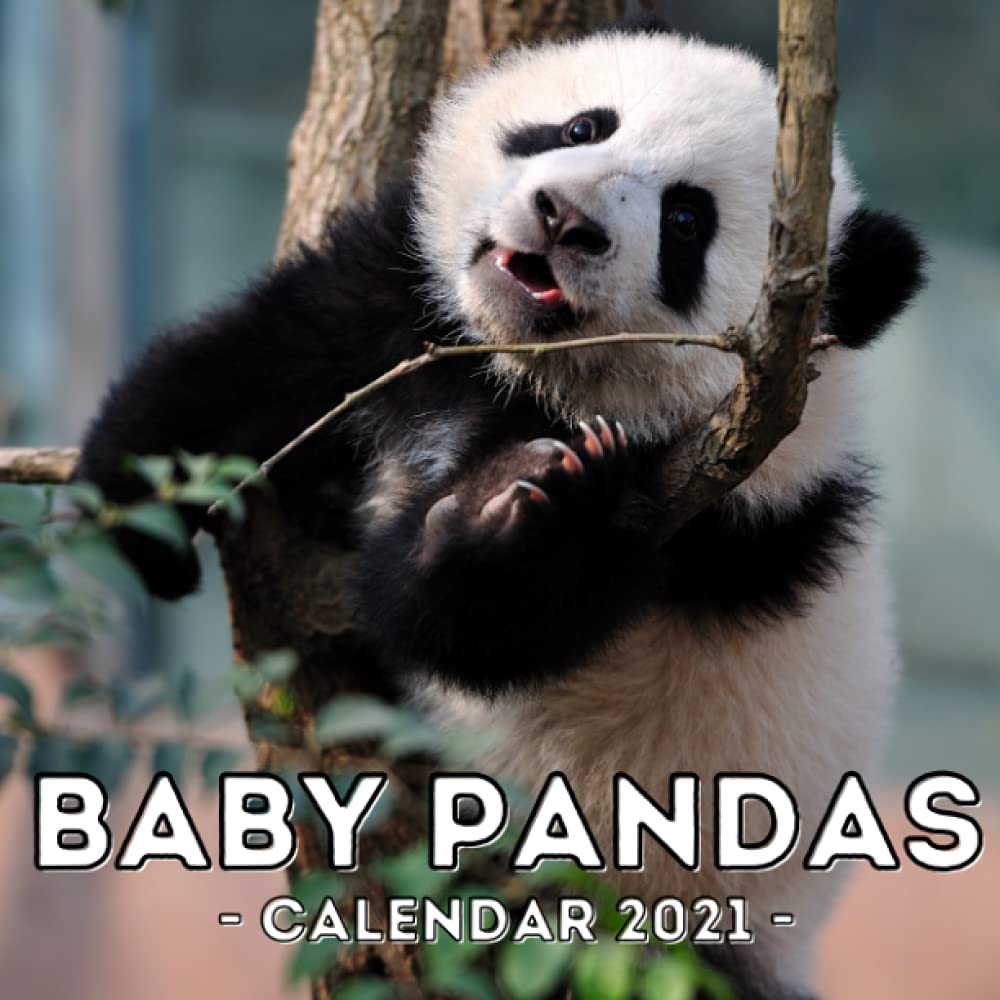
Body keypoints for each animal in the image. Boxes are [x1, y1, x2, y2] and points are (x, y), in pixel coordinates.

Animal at [78, 15, 925, 1000]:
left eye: (686, 220)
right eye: (584, 126)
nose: (566, 218)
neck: (524, 376)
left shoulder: (726, 514)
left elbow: (474, 632)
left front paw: (510, 511)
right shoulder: (403, 301)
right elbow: (260, 359)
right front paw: (132, 521)